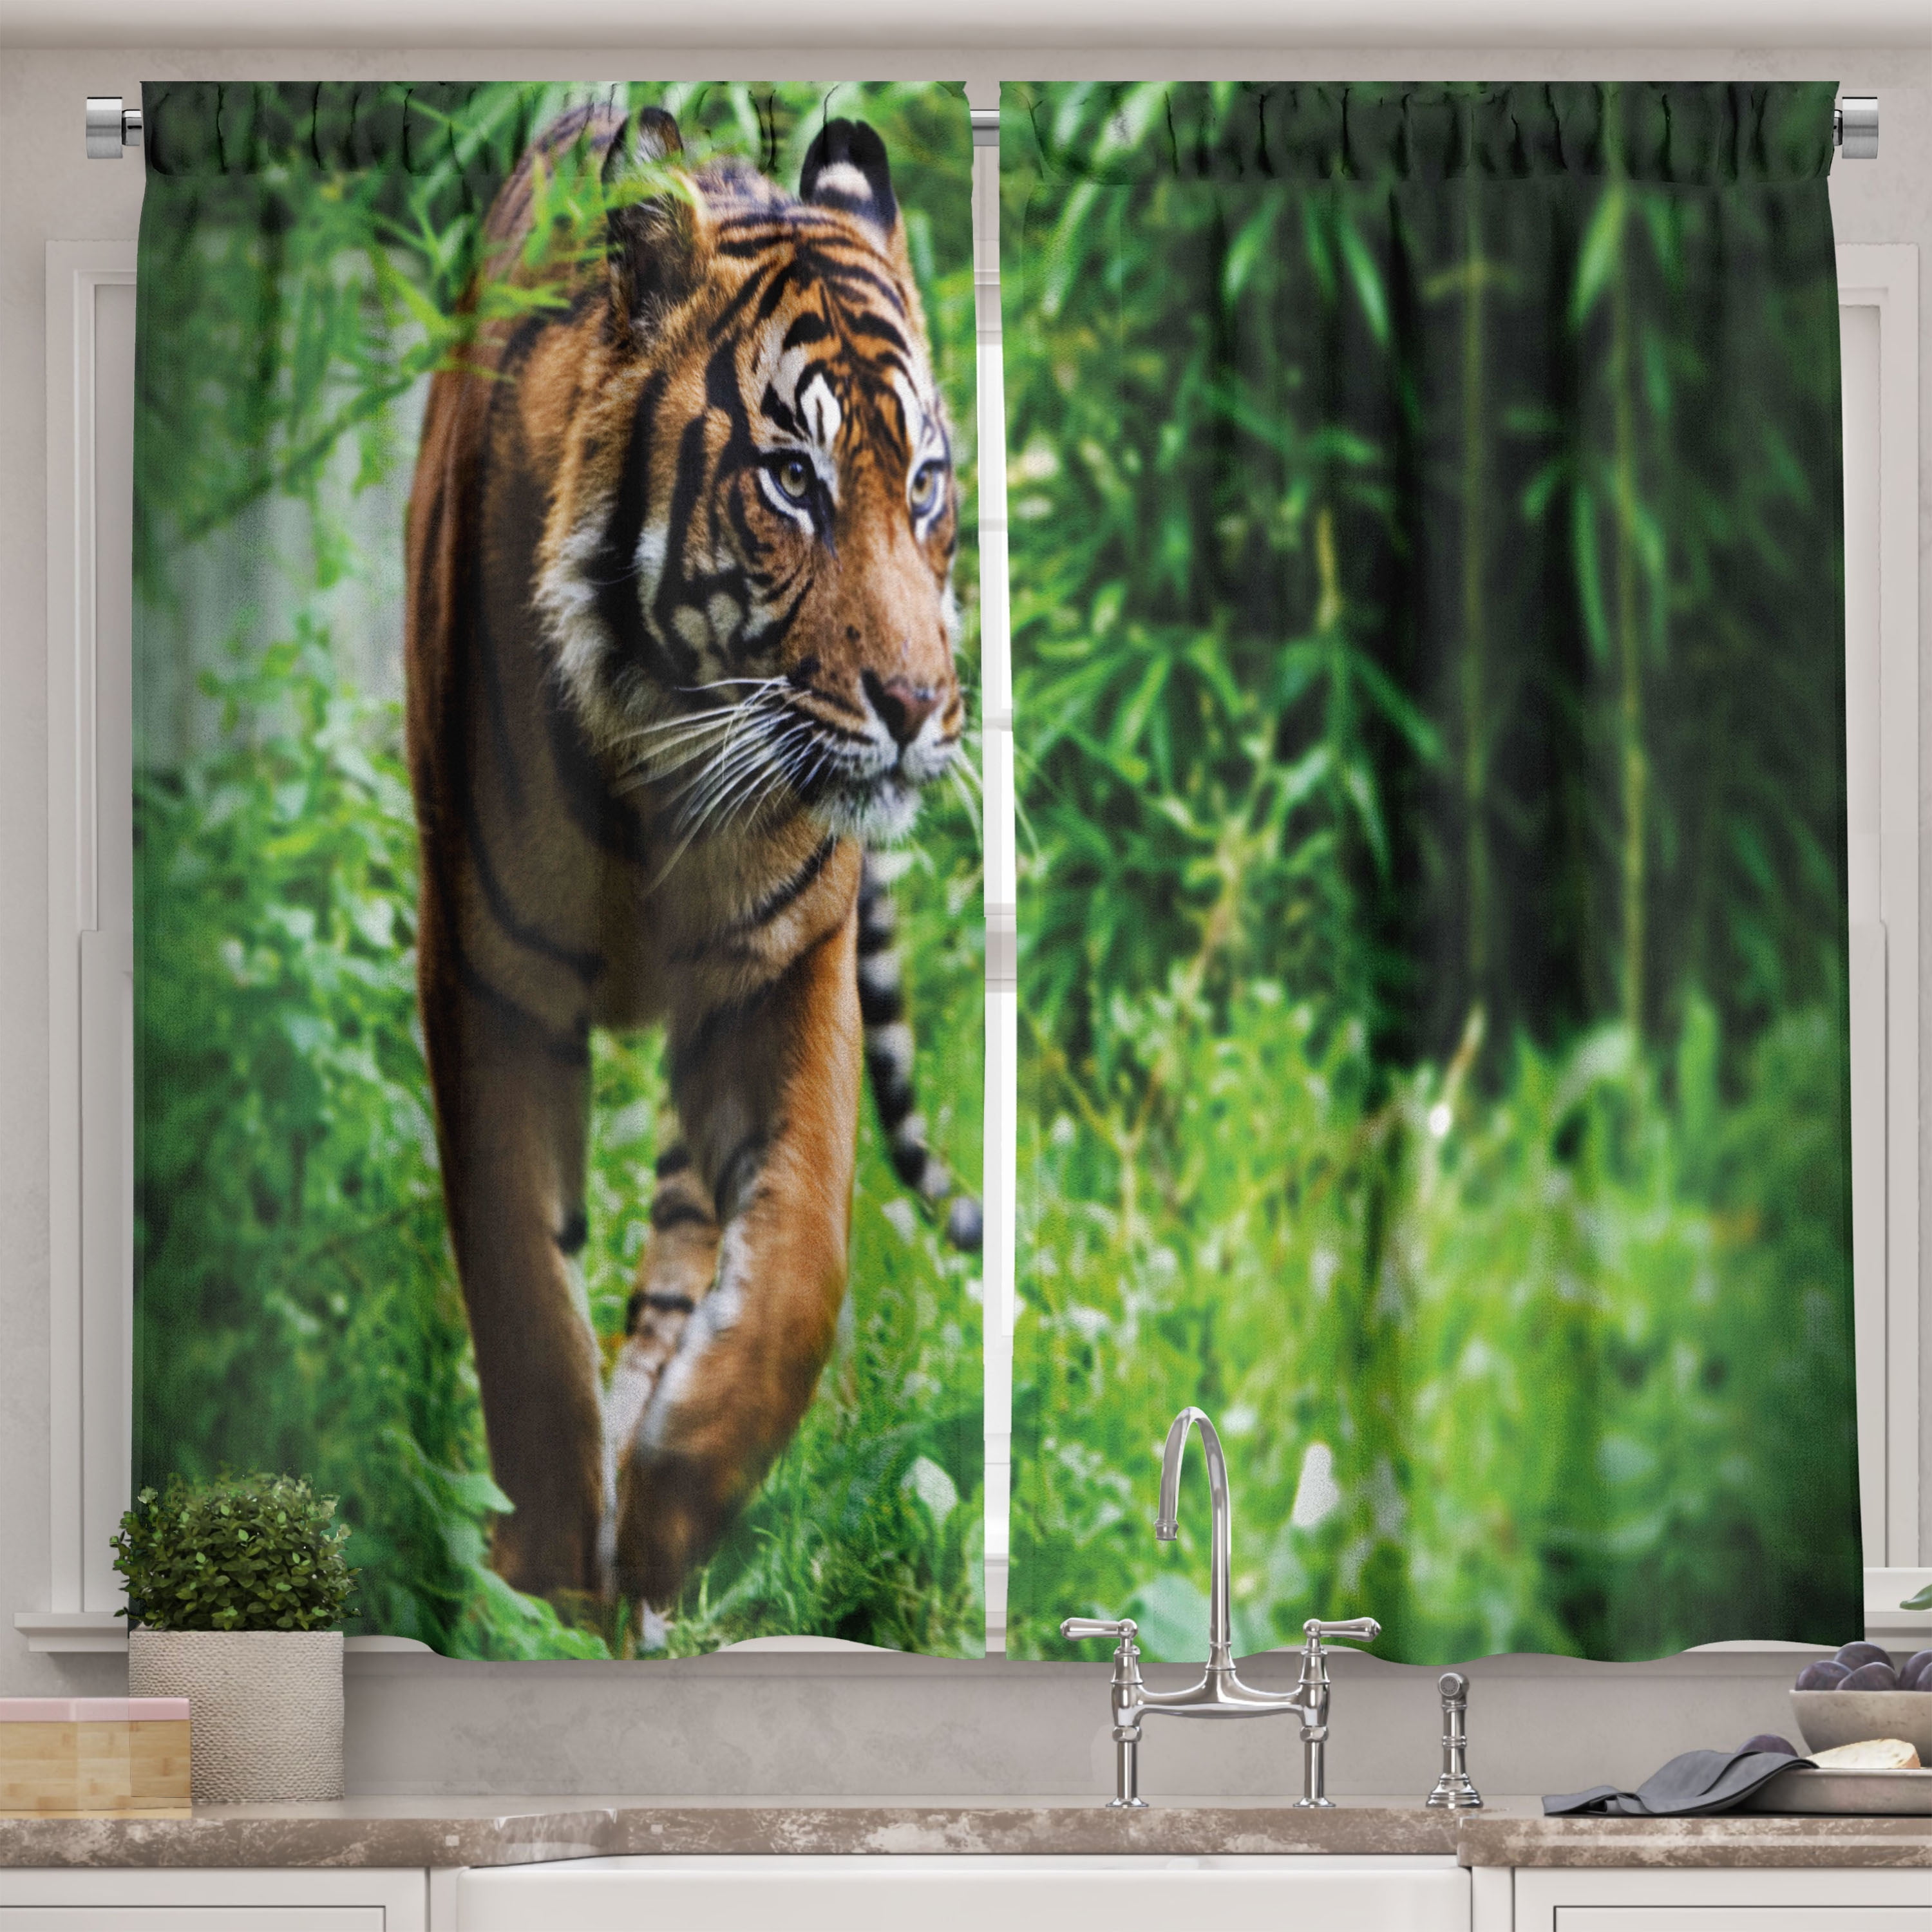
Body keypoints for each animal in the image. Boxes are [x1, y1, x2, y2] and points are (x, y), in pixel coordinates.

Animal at [404, 98, 978, 1618]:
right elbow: (522, 1297)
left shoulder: (784, 971)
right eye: (793, 479)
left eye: (928, 484)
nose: (920, 706)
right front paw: (544, 1577)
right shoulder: (488, 977)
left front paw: (669, 1507)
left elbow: (799, 1275)